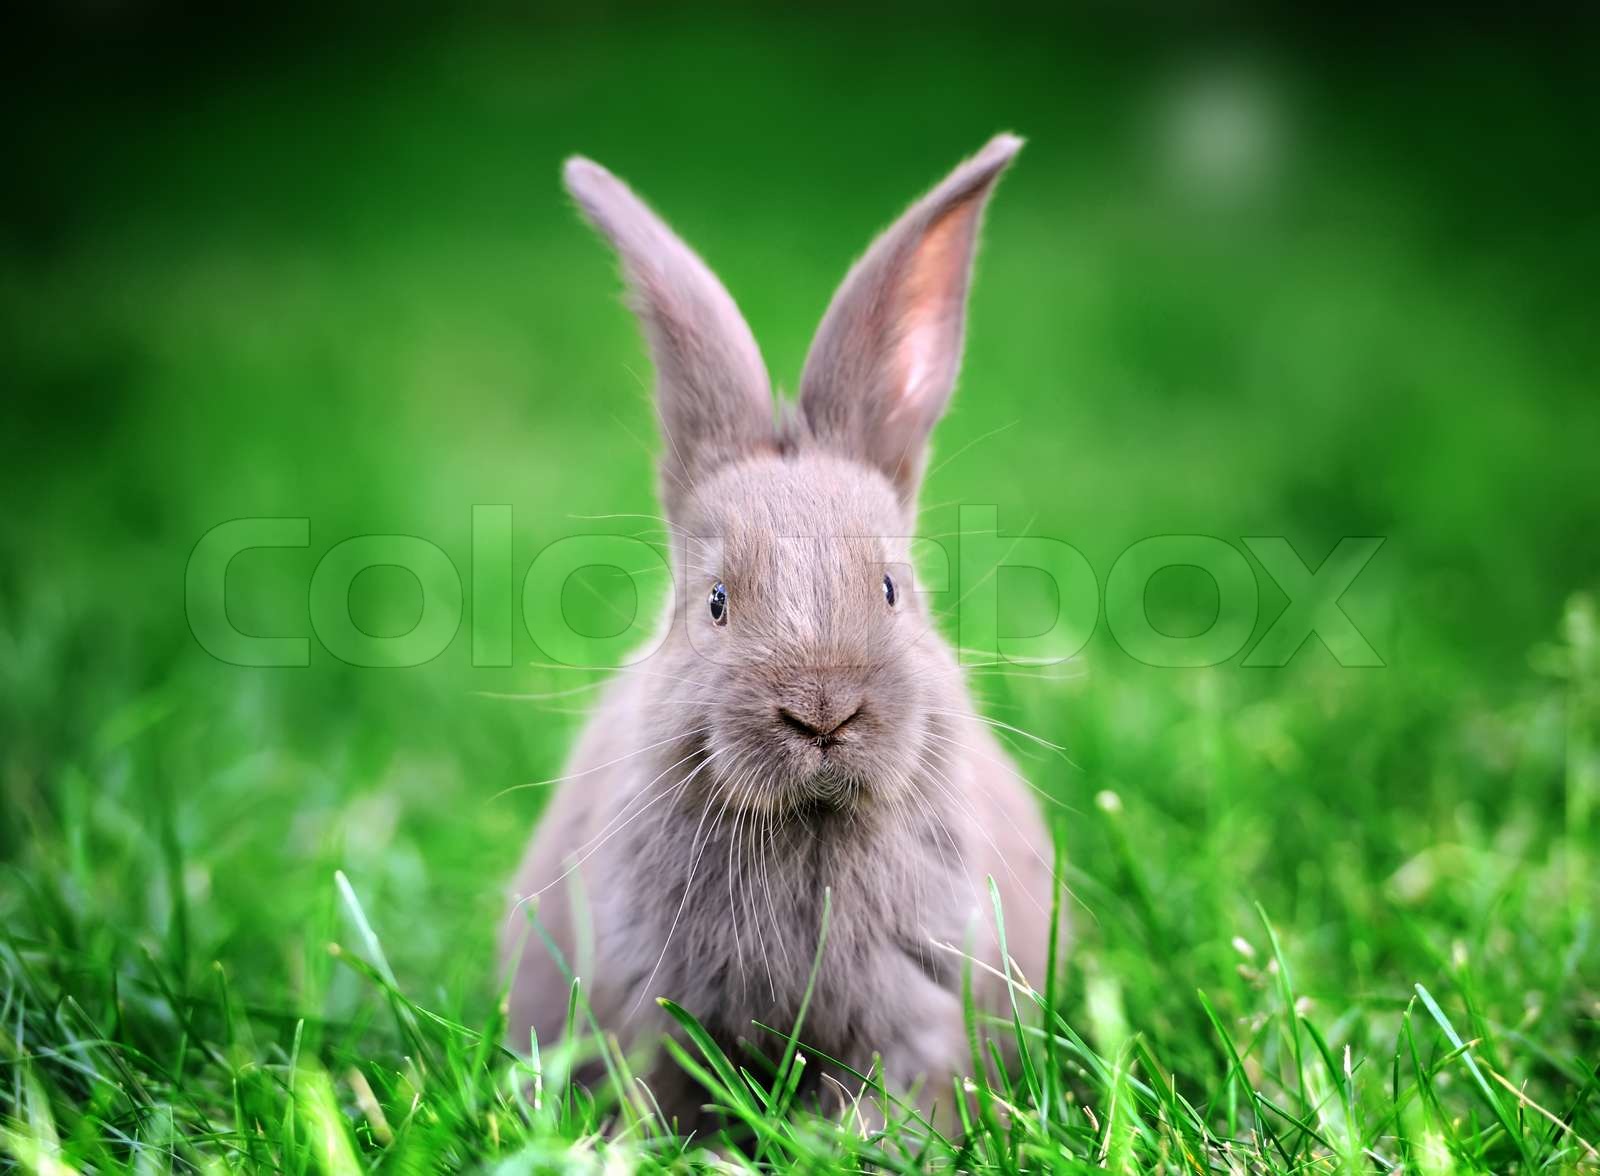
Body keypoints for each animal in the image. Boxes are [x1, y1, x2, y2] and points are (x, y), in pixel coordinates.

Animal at [501, 134, 1058, 1132]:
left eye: (891, 589)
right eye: (717, 602)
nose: (823, 711)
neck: (808, 819)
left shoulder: (914, 1004)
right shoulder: (654, 1003)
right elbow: (659, 1090)